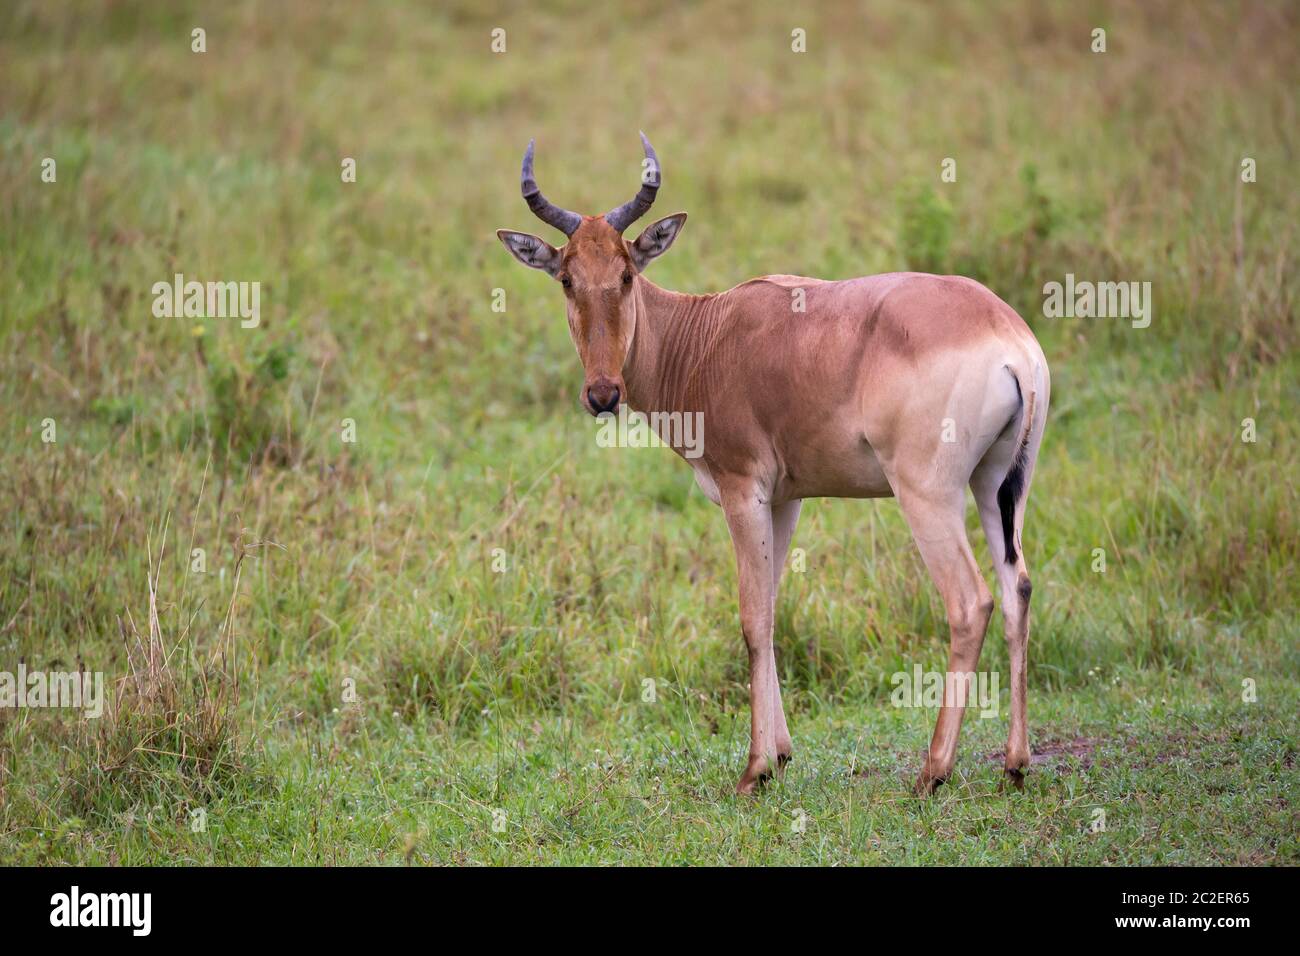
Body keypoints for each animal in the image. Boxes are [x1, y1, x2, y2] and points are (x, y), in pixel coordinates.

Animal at [497, 135, 1050, 796]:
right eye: (566, 278)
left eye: (627, 273)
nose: (603, 394)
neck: (709, 332)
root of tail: (1008, 340)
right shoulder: (786, 498)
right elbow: (773, 606)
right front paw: (781, 754)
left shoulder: (743, 491)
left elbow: (751, 617)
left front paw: (754, 769)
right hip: (999, 485)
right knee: (1017, 587)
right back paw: (1015, 764)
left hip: (928, 493)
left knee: (970, 603)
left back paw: (932, 772)